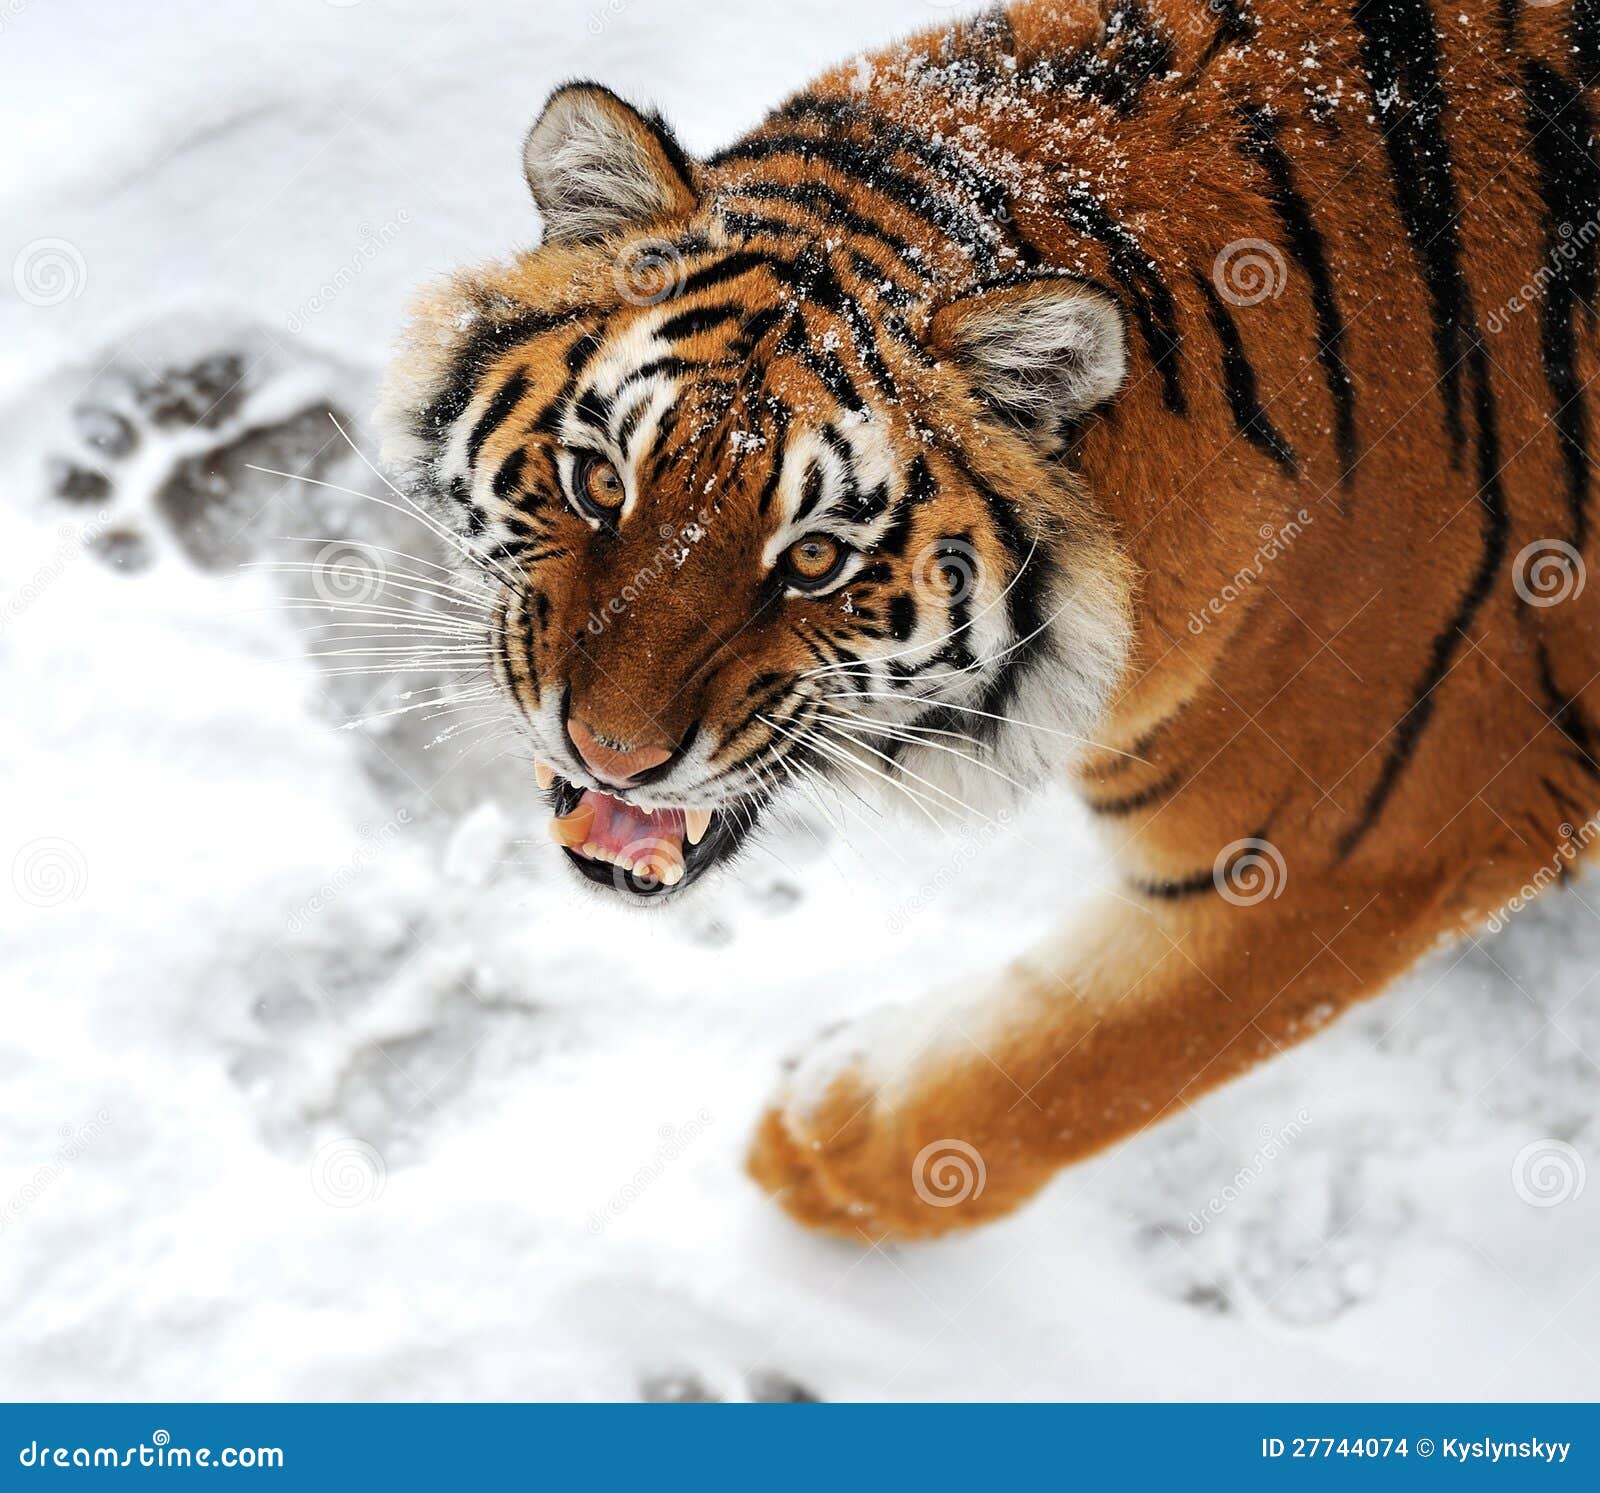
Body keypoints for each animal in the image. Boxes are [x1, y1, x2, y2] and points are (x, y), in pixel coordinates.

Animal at [377, 0, 1600, 1240]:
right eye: (598, 482)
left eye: (813, 557)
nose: (609, 753)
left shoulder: (1355, 845)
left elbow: (1075, 1059)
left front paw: (816, 1152)